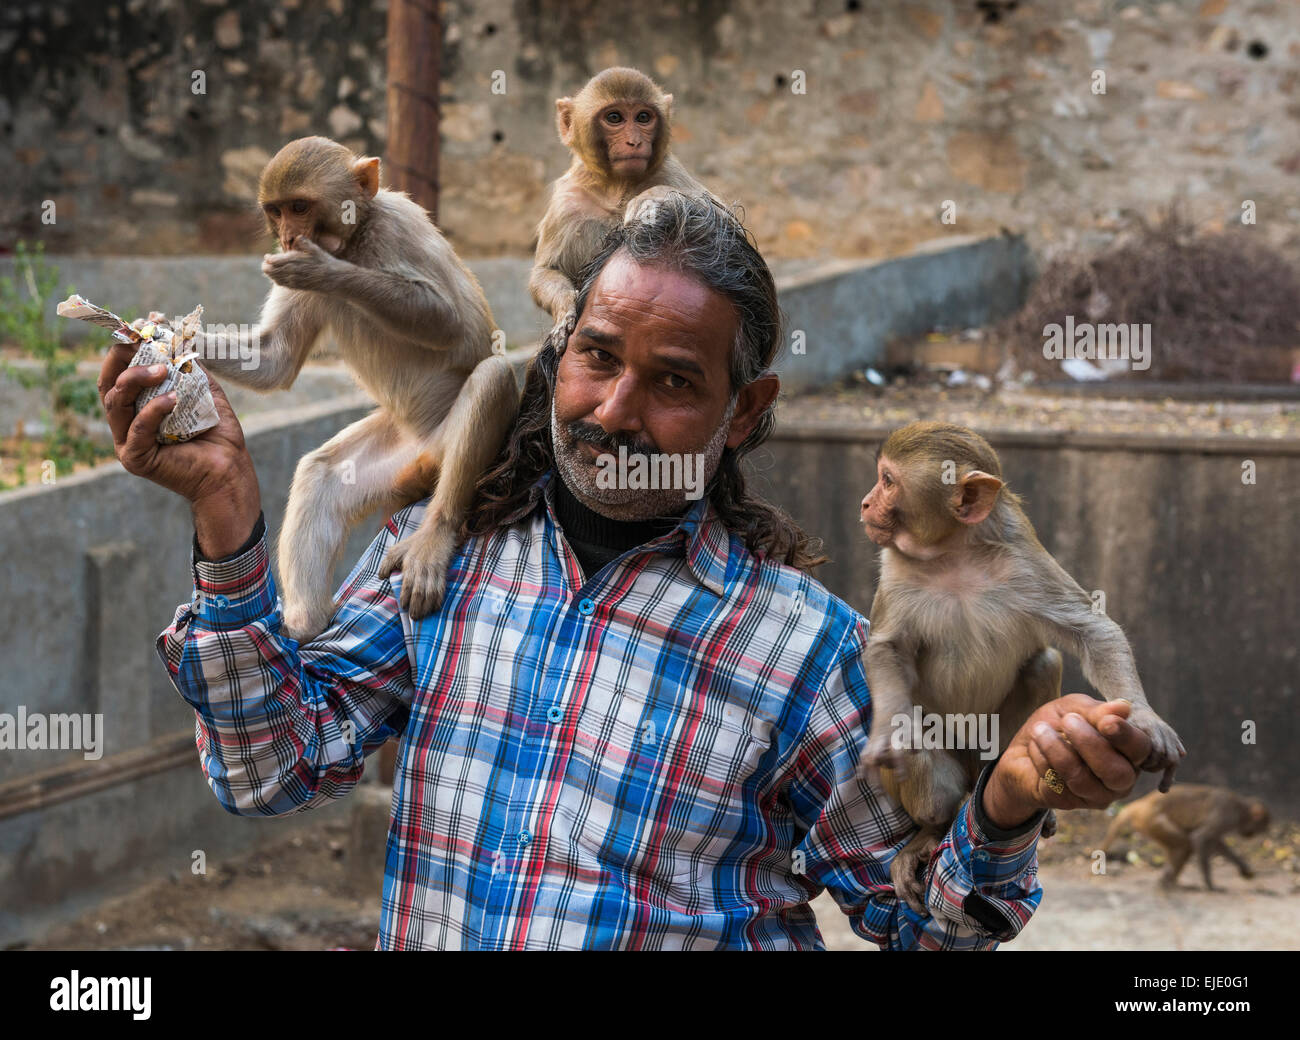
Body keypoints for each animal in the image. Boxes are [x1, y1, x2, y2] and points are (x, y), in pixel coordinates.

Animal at [192, 136, 520, 641]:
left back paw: (435, 535)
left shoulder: (397, 229)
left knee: (492, 377)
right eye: (277, 211)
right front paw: (168, 337)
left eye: (300, 207)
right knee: (322, 475)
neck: (354, 239)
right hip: (400, 454)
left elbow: (446, 321)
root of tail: (428, 450)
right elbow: (272, 361)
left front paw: (323, 272)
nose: (288, 238)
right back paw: (302, 630)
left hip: (451, 445)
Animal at [528, 66, 720, 330]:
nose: (635, 141)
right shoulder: (567, 202)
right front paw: (565, 309)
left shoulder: (671, 173)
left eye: (643, 117)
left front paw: (648, 199)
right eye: (614, 118)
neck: (616, 188)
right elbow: (546, 271)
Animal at [857, 420, 1185, 913]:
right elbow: (887, 650)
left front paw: (1147, 720)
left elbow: (1093, 629)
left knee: (1042, 662)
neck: (952, 553)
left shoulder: (1022, 561)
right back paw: (930, 831)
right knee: (938, 797)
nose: (865, 502)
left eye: (888, 481)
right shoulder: (893, 566)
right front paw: (890, 735)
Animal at [1099, 785, 1270, 890]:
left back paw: (1169, 882)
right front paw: (1210, 885)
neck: (1241, 807)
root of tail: (1141, 804)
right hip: (1152, 820)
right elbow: (1200, 838)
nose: (1251, 835)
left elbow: (1216, 842)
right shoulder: (1226, 815)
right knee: (1184, 844)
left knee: (1184, 847)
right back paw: (1168, 883)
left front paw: (1244, 869)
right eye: (1262, 827)